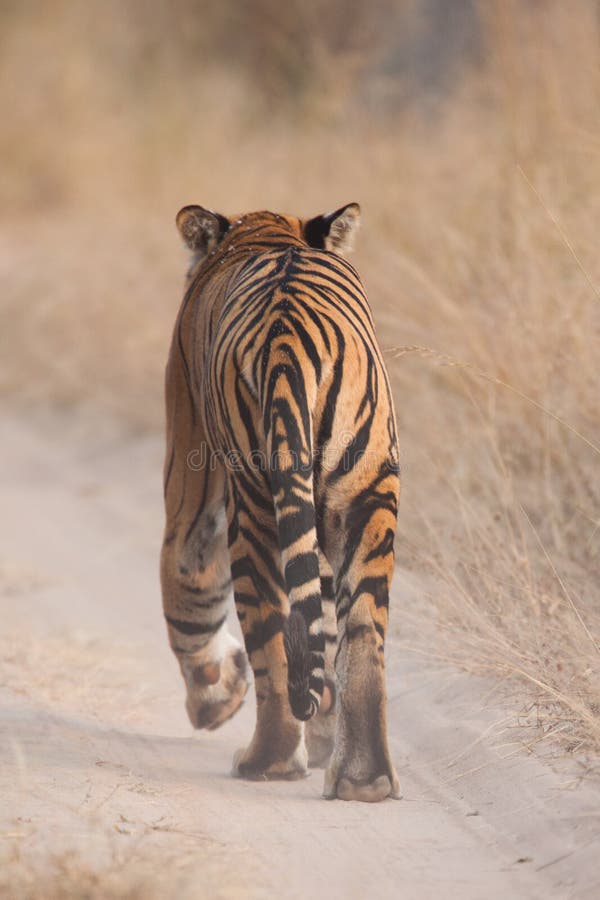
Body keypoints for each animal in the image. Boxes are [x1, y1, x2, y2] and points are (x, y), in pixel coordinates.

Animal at [161, 202, 401, 802]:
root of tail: (288, 335)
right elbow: (325, 628)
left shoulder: (190, 478)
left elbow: (187, 591)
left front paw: (215, 699)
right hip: (367, 490)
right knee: (361, 632)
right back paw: (363, 779)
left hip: (251, 505)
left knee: (269, 636)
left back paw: (265, 761)